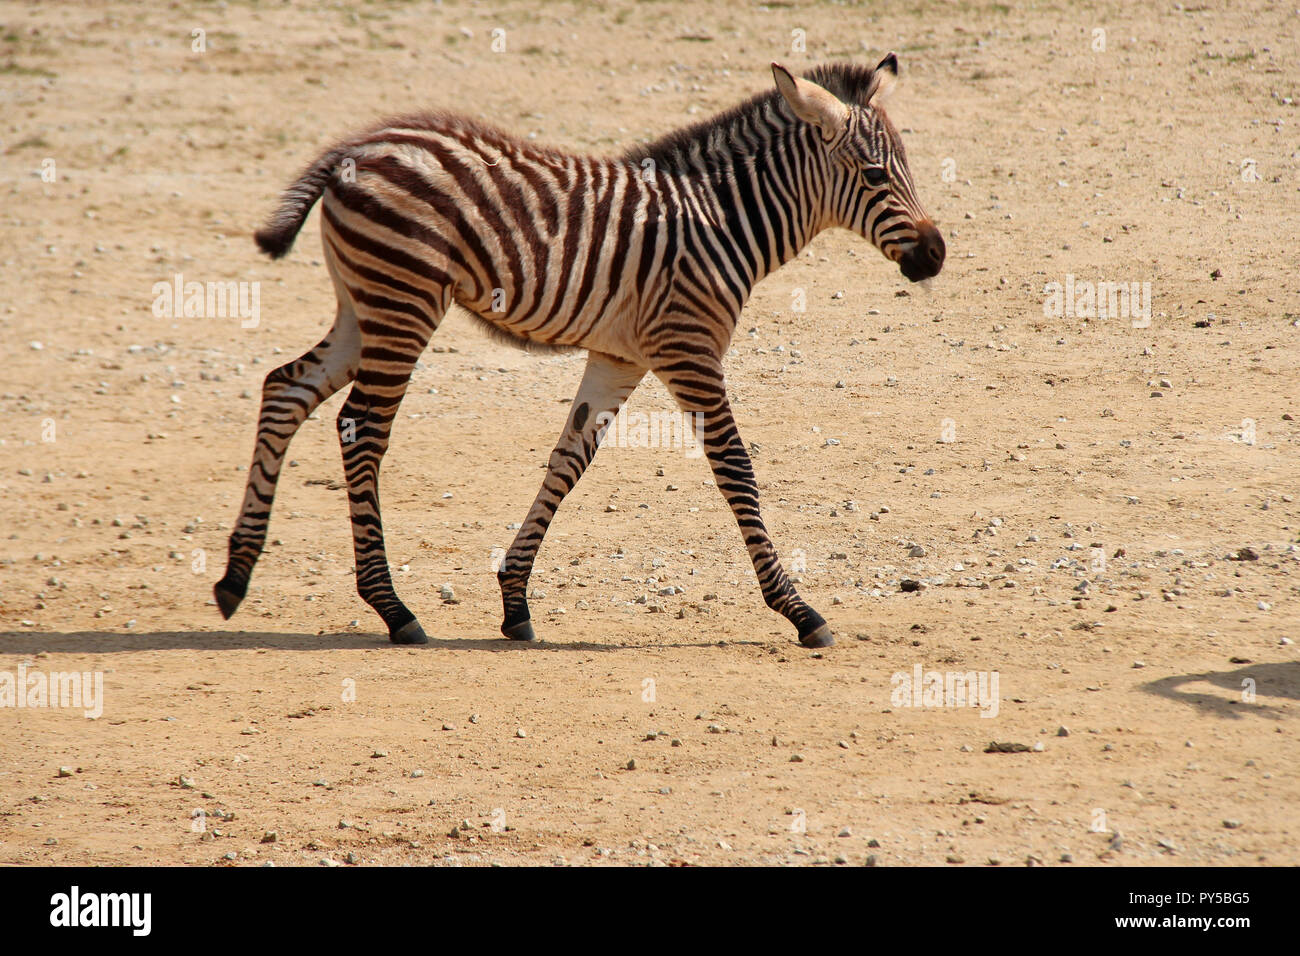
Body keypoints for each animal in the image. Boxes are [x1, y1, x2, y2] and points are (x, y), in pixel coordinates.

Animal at [215, 55, 946, 649]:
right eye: (875, 174)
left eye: (906, 168)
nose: (936, 255)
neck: (722, 221)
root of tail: (359, 145)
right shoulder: (688, 347)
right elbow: (736, 467)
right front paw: (798, 610)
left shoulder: (622, 357)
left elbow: (569, 461)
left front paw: (514, 601)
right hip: (403, 301)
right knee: (360, 428)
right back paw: (392, 609)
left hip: (363, 306)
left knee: (284, 388)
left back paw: (234, 576)